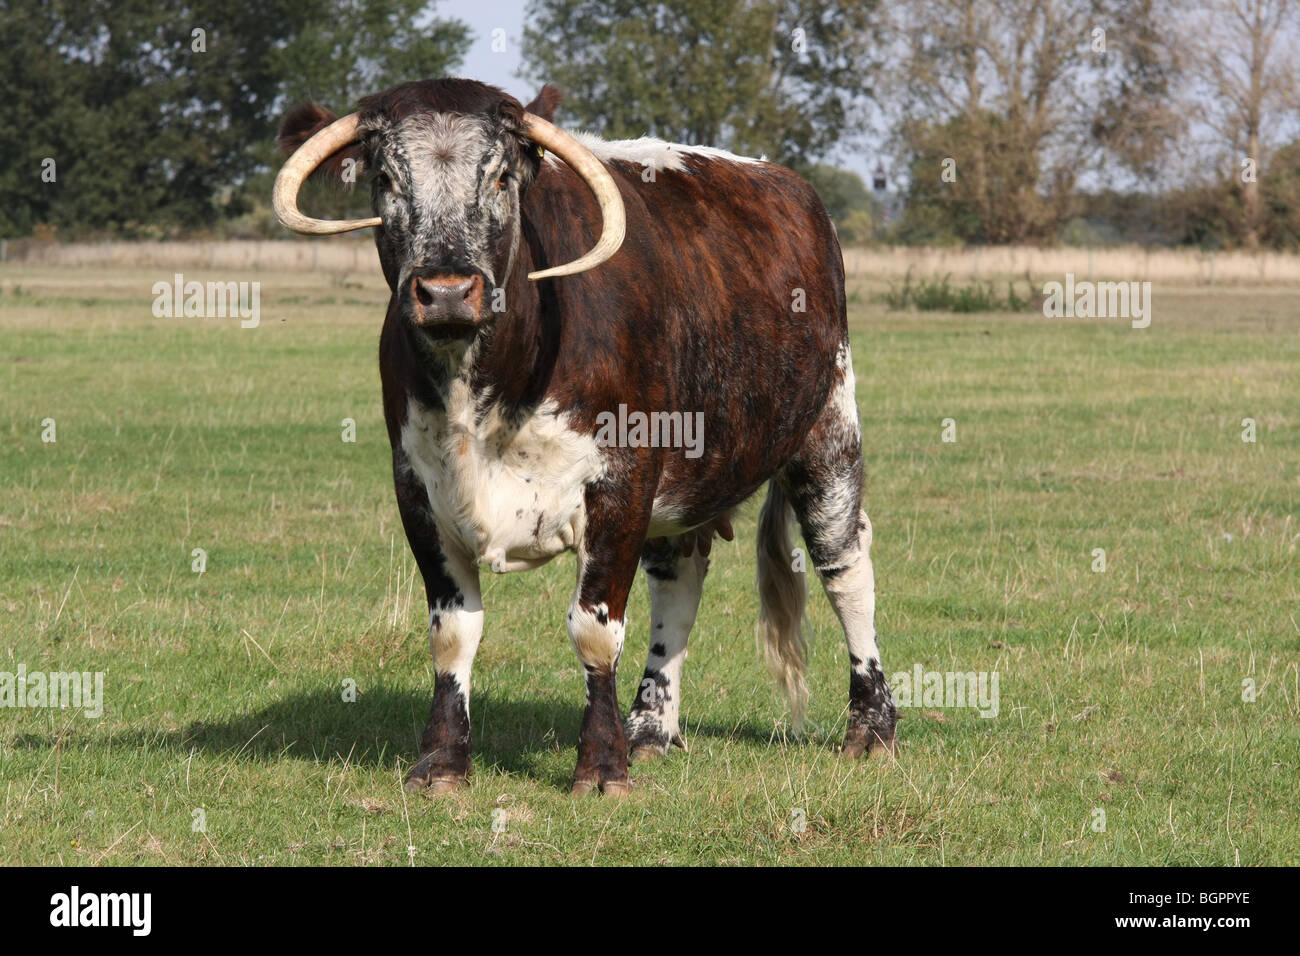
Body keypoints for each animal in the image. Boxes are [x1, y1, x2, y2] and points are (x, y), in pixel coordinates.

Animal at [273, 78, 896, 796]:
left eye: (502, 175)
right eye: (384, 177)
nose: (448, 291)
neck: (485, 393)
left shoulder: (621, 483)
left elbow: (594, 631)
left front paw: (600, 765)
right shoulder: (417, 489)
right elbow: (453, 633)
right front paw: (441, 762)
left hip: (828, 433)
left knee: (845, 567)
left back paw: (871, 728)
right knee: (679, 579)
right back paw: (650, 729)